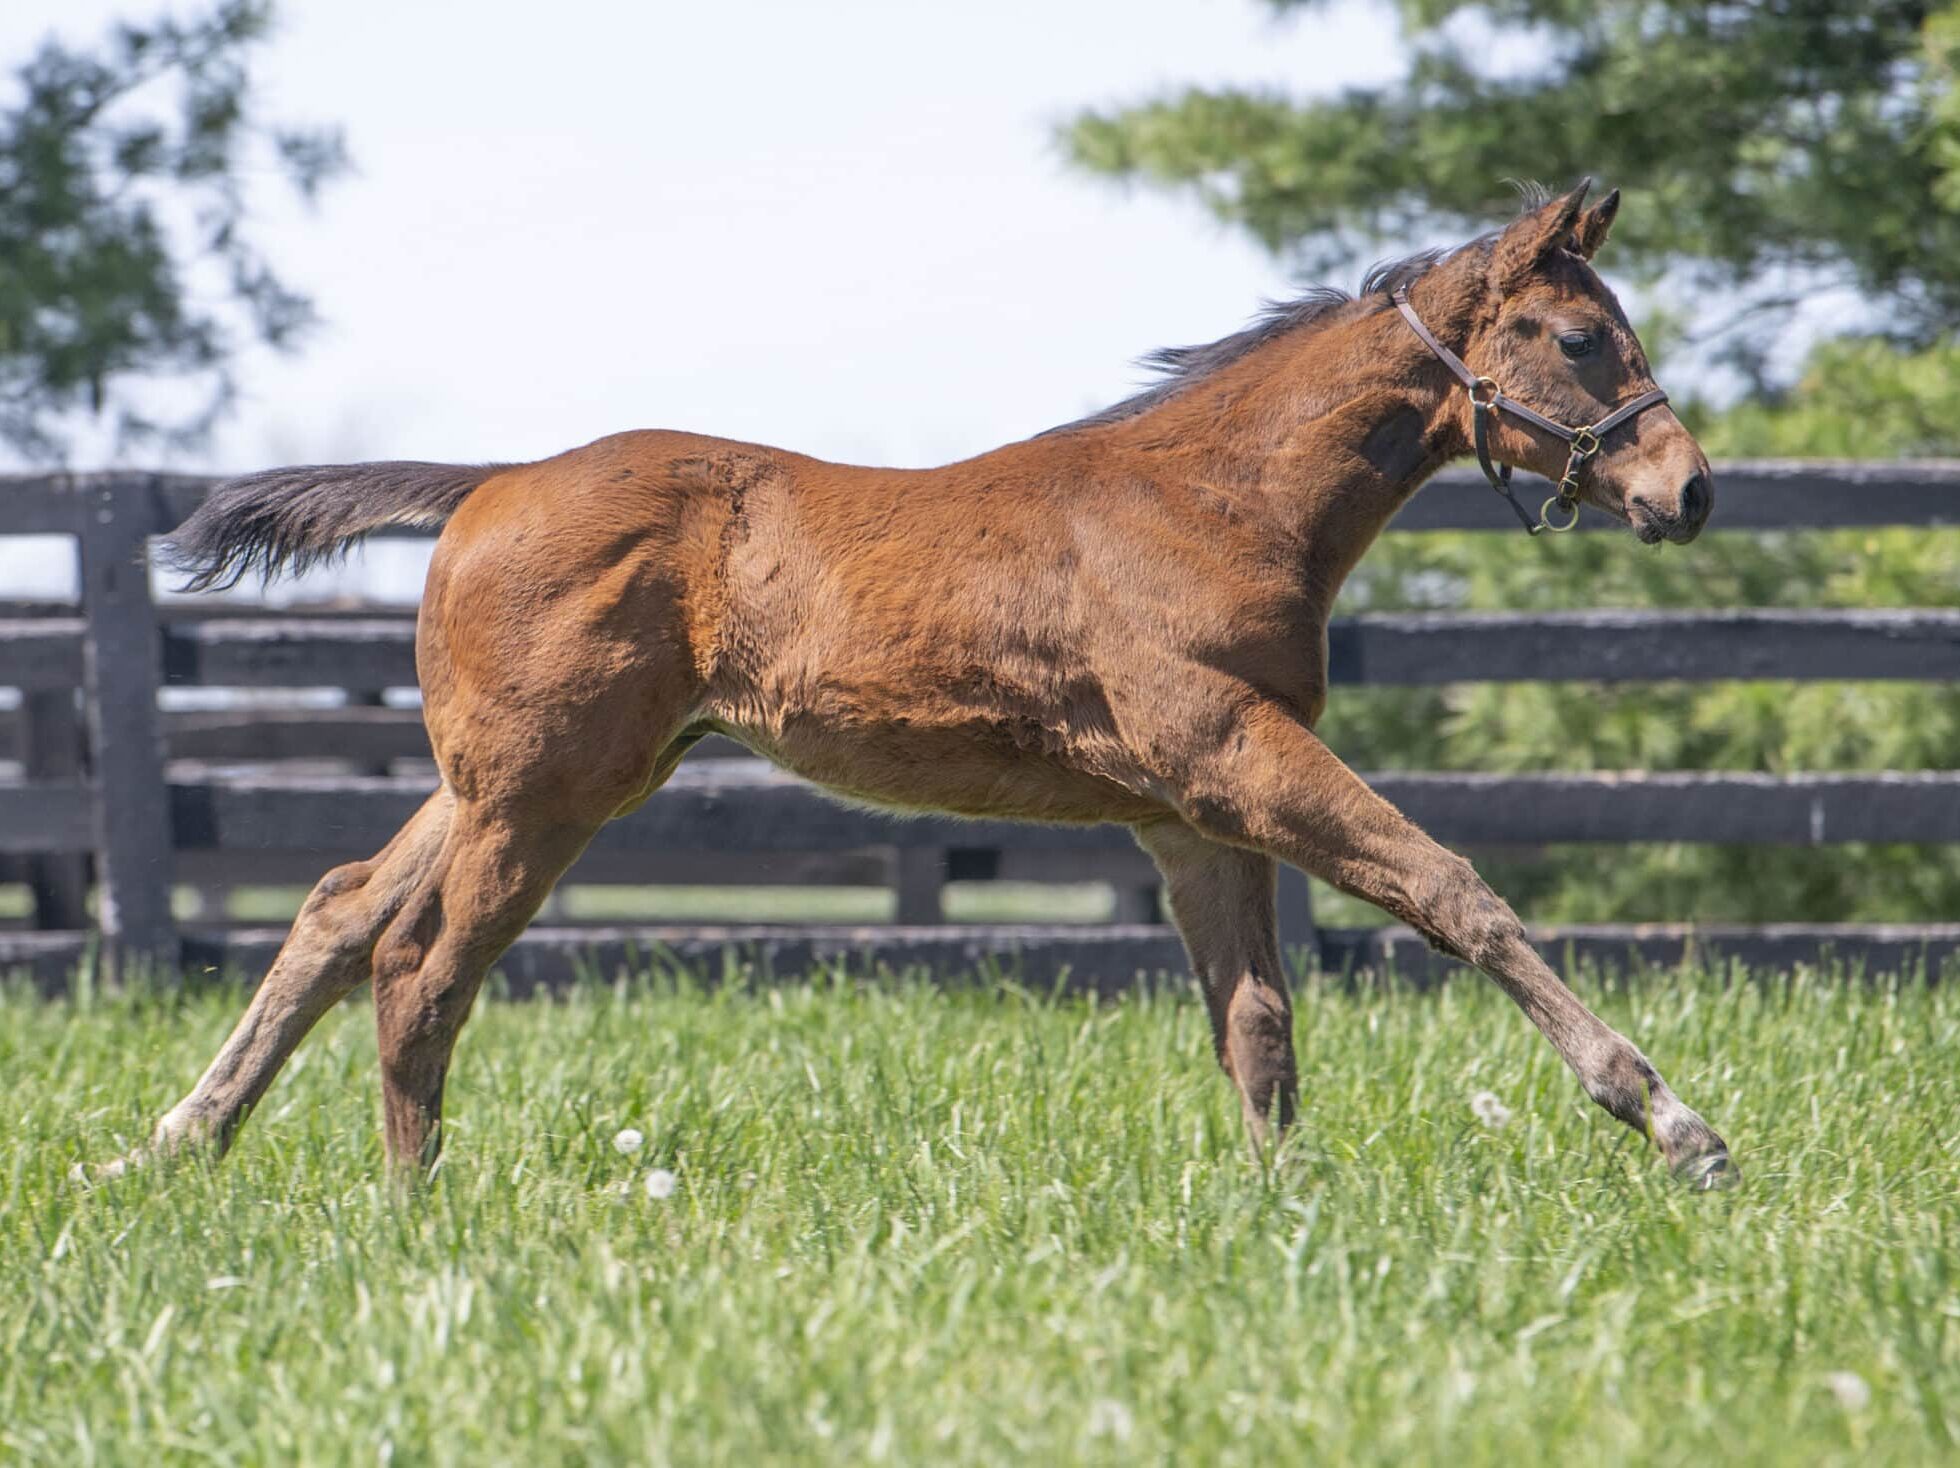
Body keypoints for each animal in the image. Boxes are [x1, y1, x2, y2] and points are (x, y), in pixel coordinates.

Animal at [92, 179, 1736, 1191]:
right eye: (1580, 336)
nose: (1690, 491)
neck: (1212, 504)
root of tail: (486, 484)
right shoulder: (1231, 752)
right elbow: (1452, 890)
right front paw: (1671, 1120)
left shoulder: (1188, 813)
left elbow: (1257, 1018)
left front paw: (1285, 1209)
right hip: (544, 793)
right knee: (419, 965)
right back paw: (412, 1208)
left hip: (503, 777)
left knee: (336, 911)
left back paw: (176, 1142)